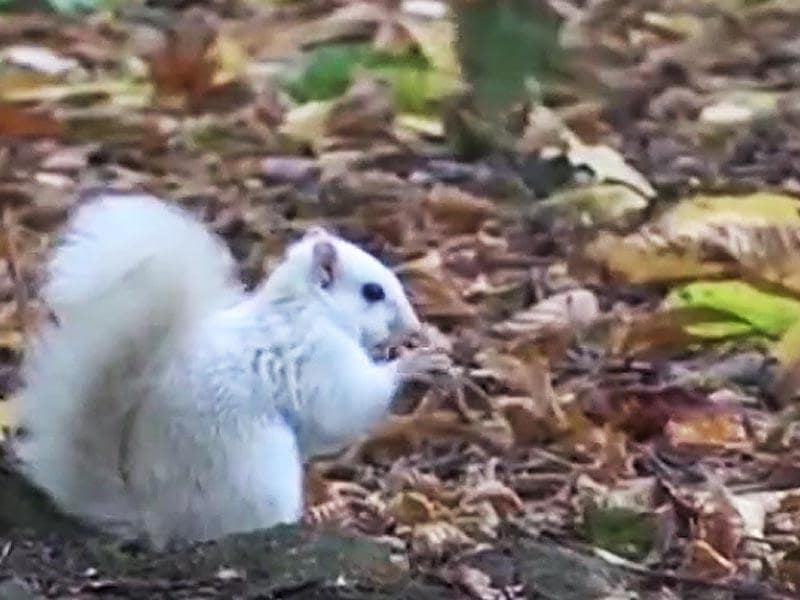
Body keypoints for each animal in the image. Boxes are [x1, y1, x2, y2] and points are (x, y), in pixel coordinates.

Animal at [14, 190, 450, 548]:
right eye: (372, 292)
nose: (413, 327)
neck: (306, 307)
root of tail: (159, 522)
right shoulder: (314, 356)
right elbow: (344, 408)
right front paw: (415, 364)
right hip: (257, 479)